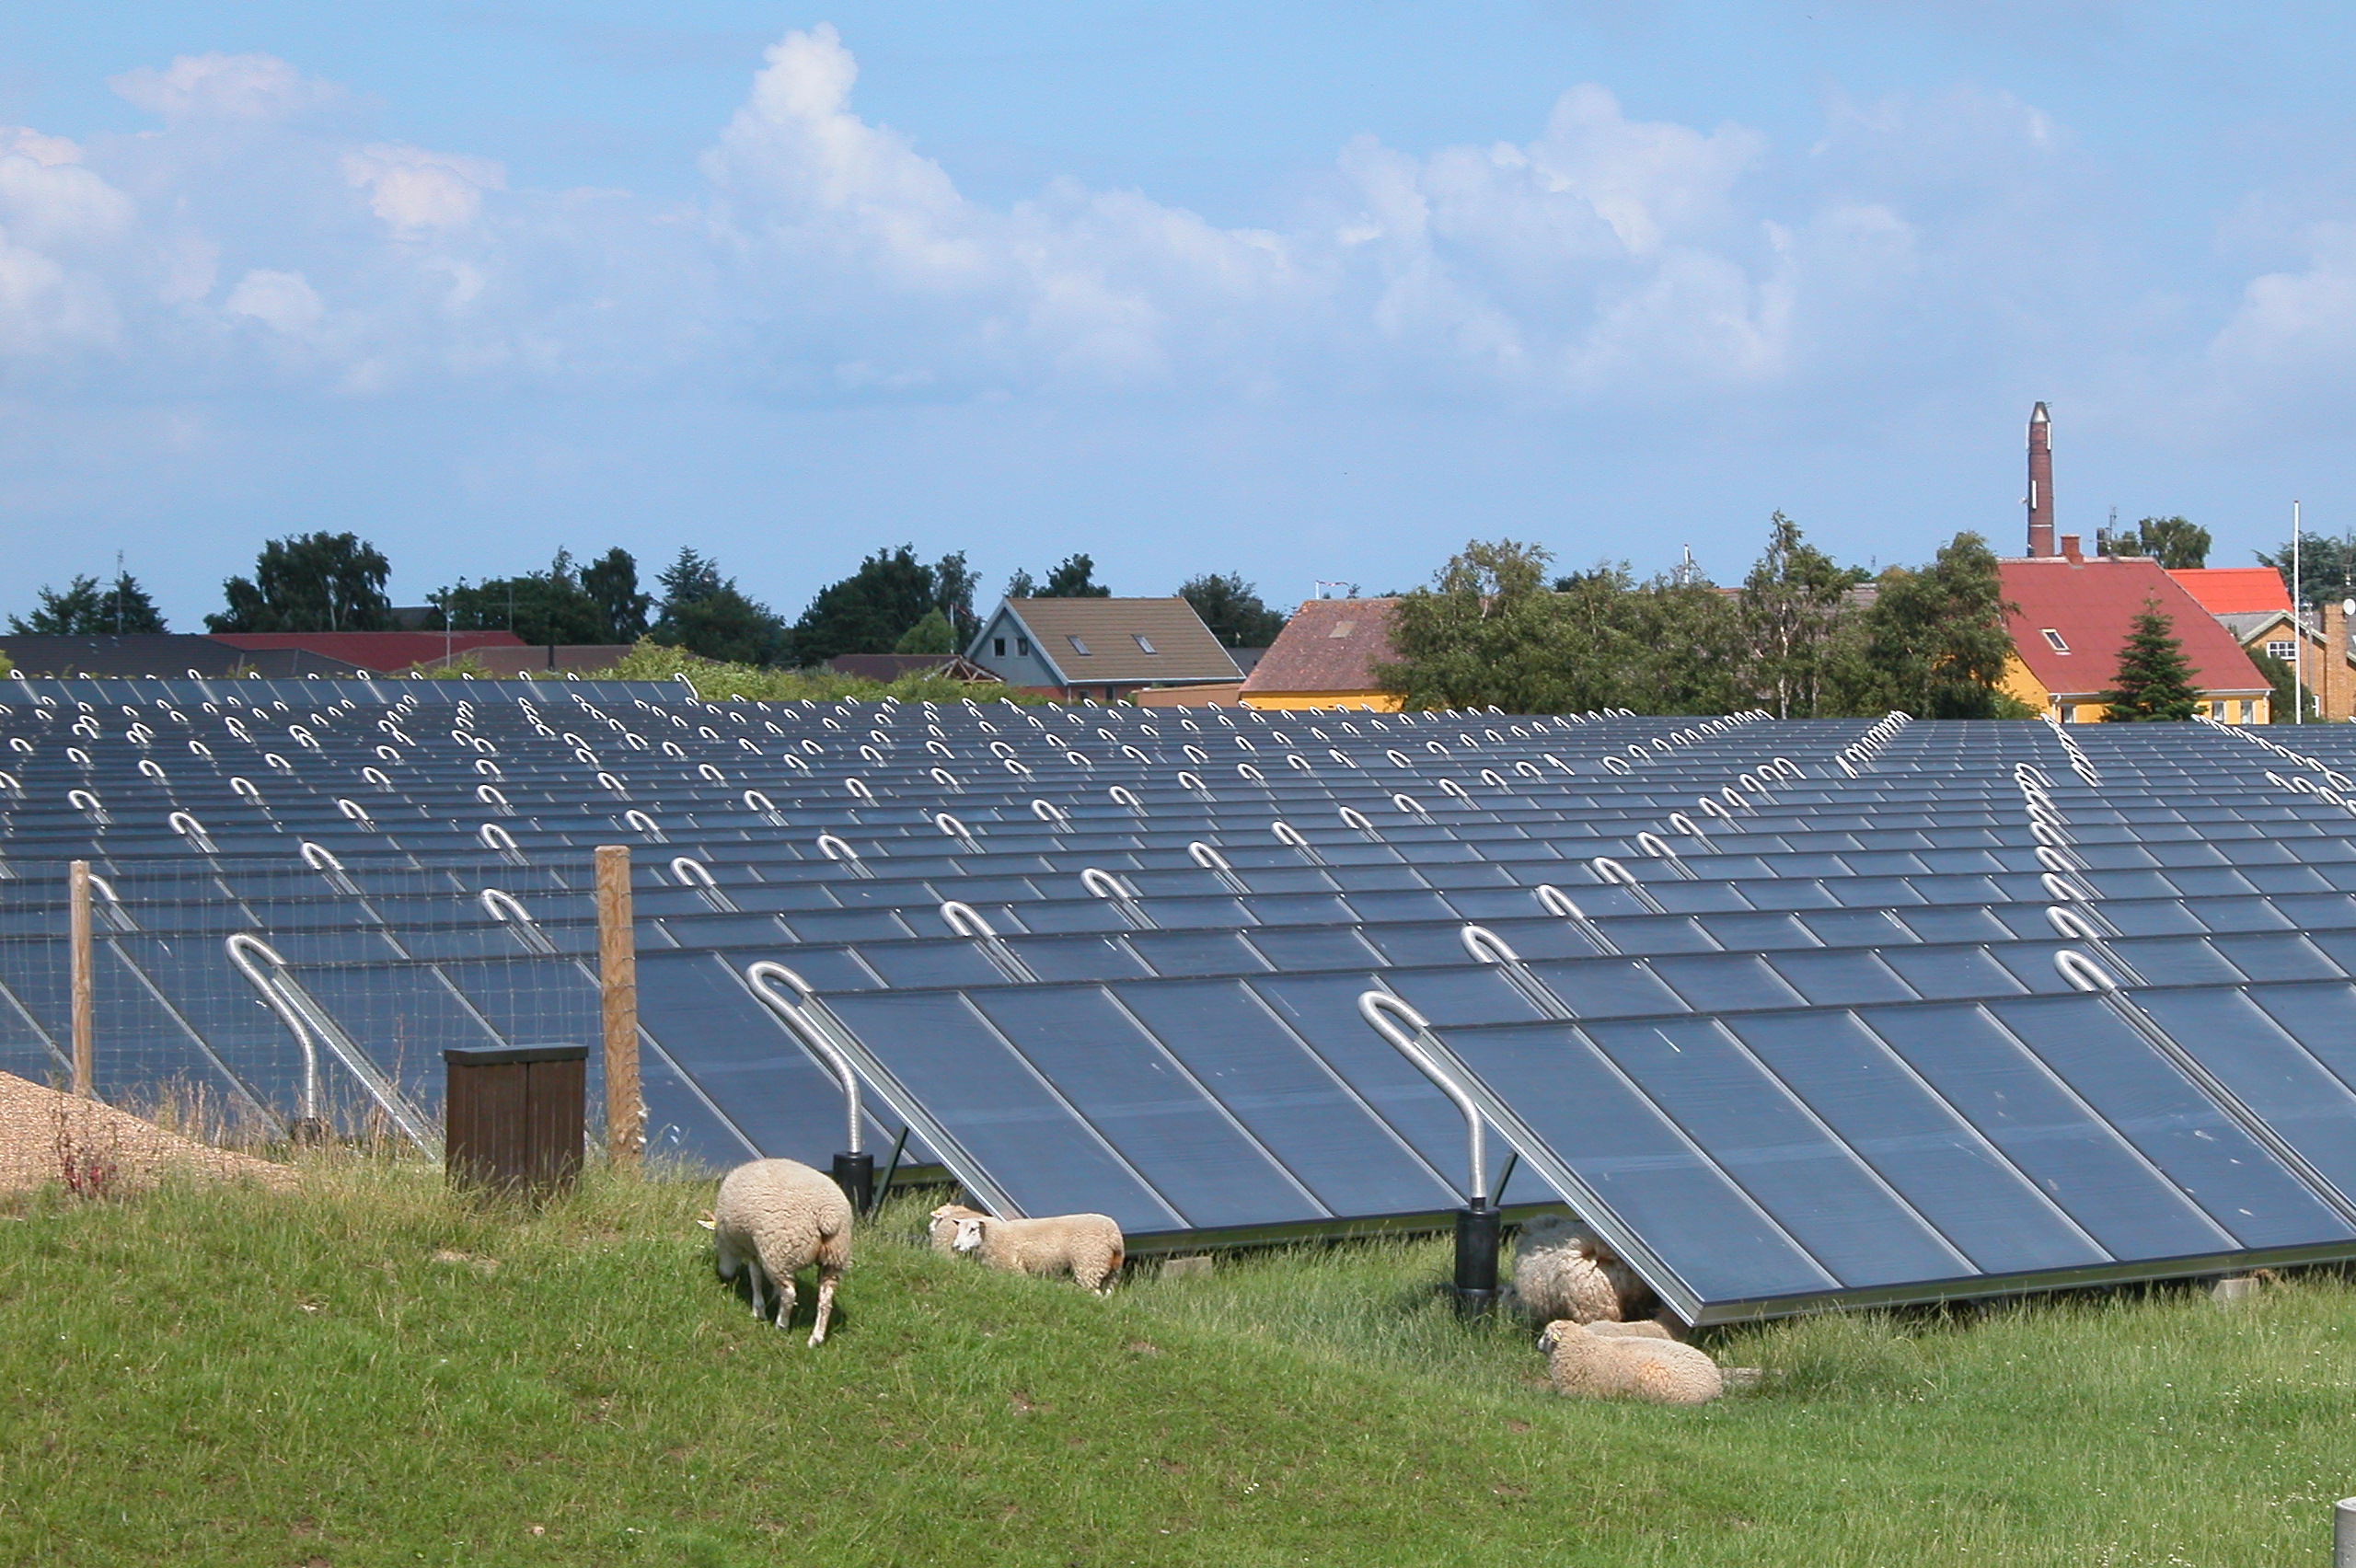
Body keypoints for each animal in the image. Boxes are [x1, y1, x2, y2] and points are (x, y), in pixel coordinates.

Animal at [697, 1148, 857, 1346]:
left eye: (717, 1241)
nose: (723, 1275)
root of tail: (827, 1215)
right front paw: (773, 1297)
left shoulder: (754, 1247)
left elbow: (755, 1276)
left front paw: (759, 1310)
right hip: (834, 1256)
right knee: (826, 1298)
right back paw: (816, 1338)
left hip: (778, 1251)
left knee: (790, 1294)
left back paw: (781, 1325)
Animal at [947, 1200, 1121, 1290]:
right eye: (958, 1229)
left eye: (973, 1229)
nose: (955, 1246)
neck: (995, 1236)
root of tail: (1114, 1234)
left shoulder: (1013, 1268)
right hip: (1110, 1271)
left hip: (1089, 1263)